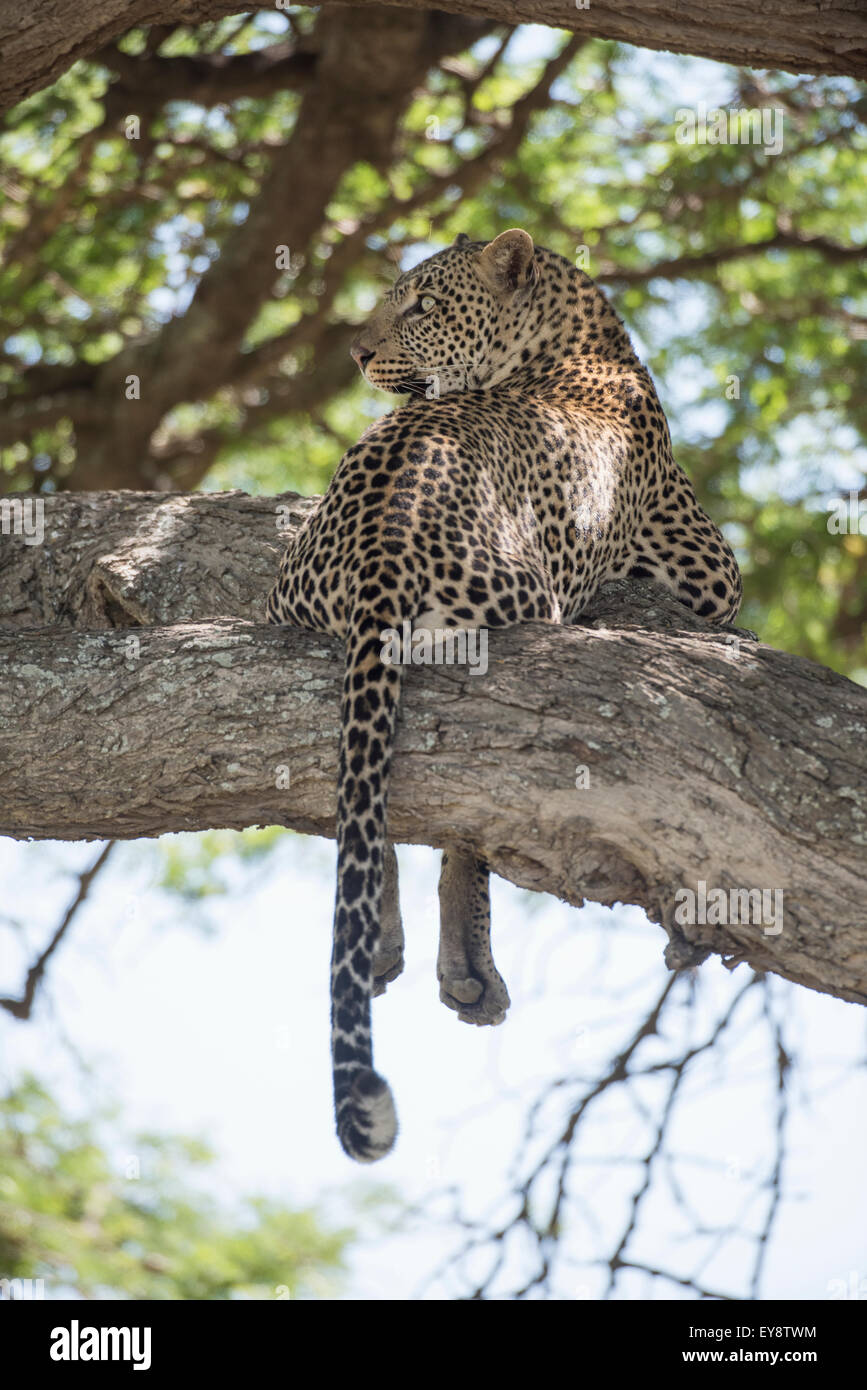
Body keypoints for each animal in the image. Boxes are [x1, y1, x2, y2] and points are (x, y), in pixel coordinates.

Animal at [266, 229, 742, 1163]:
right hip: (530, 607)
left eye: (419, 304)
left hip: (293, 598)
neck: (576, 334)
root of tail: (382, 545)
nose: (357, 352)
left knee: (376, 780)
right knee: (466, 798)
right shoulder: (711, 577)